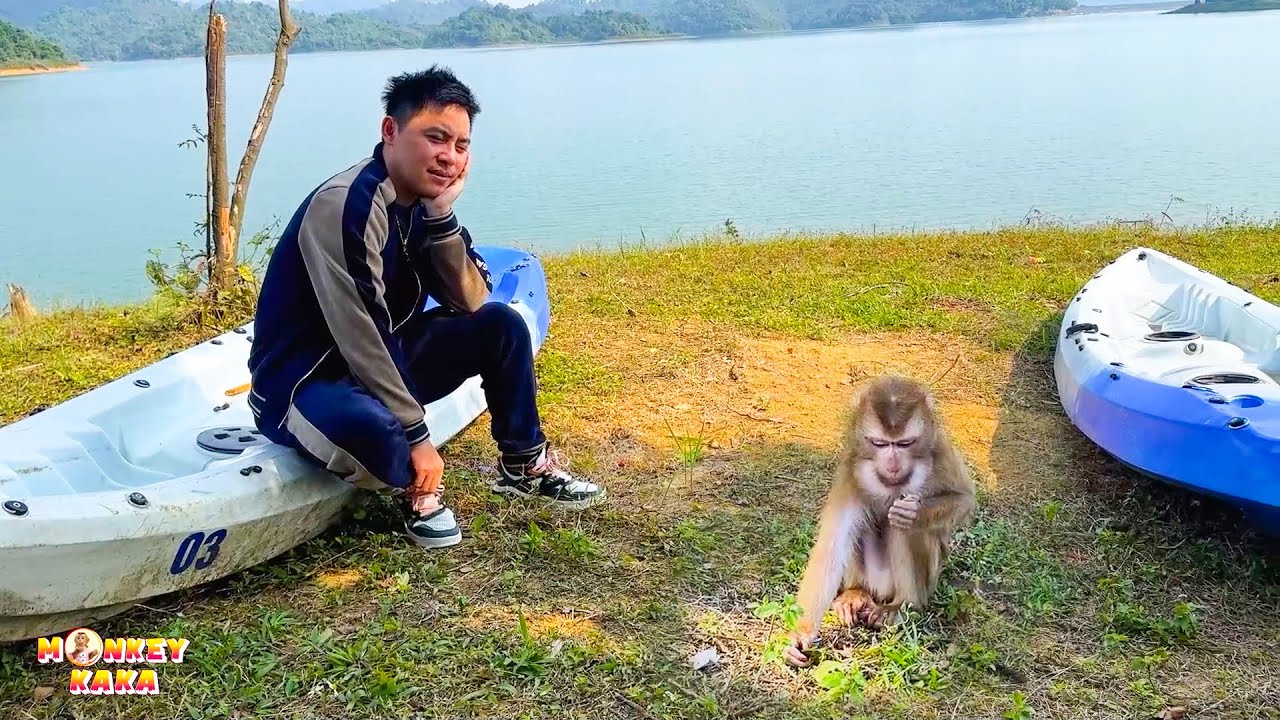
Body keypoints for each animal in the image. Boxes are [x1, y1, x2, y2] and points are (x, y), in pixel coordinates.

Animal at [783, 375, 976, 668]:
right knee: (858, 526)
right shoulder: (849, 470)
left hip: (925, 582)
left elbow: (964, 500)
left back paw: (902, 605)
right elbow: (831, 548)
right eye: (880, 444)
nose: (893, 465)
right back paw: (855, 594)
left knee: (902, 529)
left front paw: (914, 512)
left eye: (905, 443)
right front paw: (799, 633)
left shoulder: (942, 448)